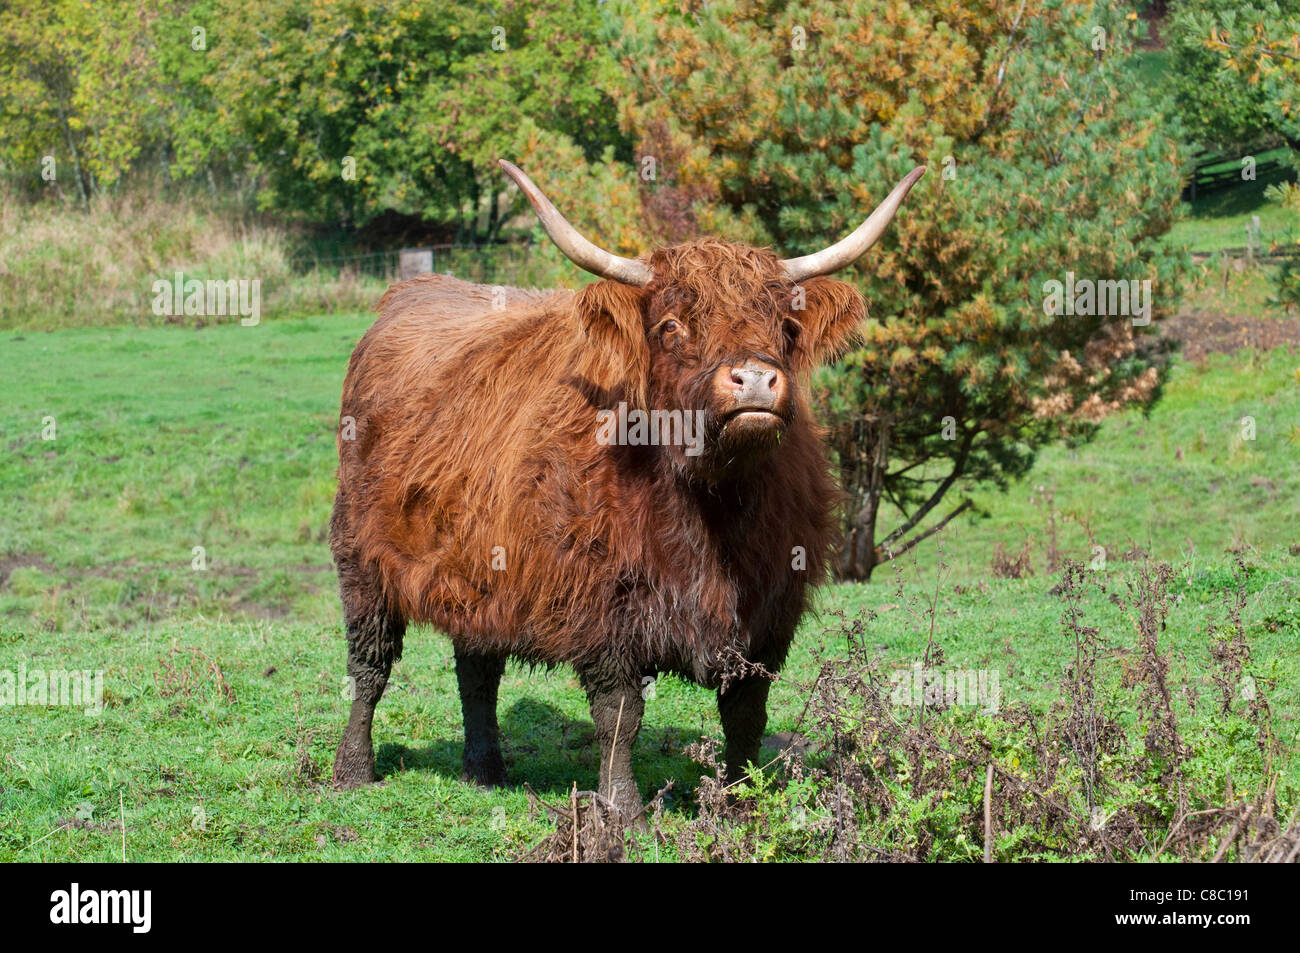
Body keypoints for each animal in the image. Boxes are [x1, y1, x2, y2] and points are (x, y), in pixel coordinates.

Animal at [330, 159, 925, 818]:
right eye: (671, 325)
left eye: (786, 326)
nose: (754, 379)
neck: (712, 509)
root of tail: (414, 290)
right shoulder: (604, 604)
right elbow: (620, 715)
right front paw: (623, 812)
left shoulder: (771, 611)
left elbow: (745, 713)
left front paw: (742, 802)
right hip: (362, 559)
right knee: (369, 665)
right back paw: (352, 771)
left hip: (478, 562)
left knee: (477, 667)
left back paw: (484, 770)